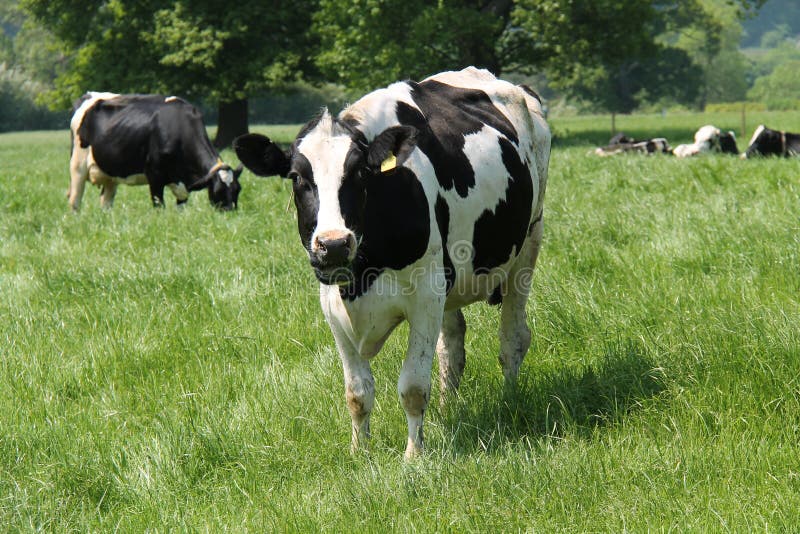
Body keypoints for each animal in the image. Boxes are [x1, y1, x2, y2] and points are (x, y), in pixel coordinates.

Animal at [68, 92, 243, 211]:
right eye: (218, 190)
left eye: (237, 190)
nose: (230, 213)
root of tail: (89, 95)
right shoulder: (154, 175)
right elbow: (159, 205)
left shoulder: (181, 183)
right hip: (77, 166)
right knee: (74, 200)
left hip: (110, 173)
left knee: (106, 201)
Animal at [234, 67, 550, 459]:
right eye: (296, 178)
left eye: (360, 173)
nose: (334, 244)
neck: (362, 276)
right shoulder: (332, 304)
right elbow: (357, 392)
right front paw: (359, 452)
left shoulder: (425, 297)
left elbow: (412, 386)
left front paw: (414, 456)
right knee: (451, 348)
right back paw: (447, 410)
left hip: (528, 245)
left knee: (513, 339)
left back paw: (508, 402)